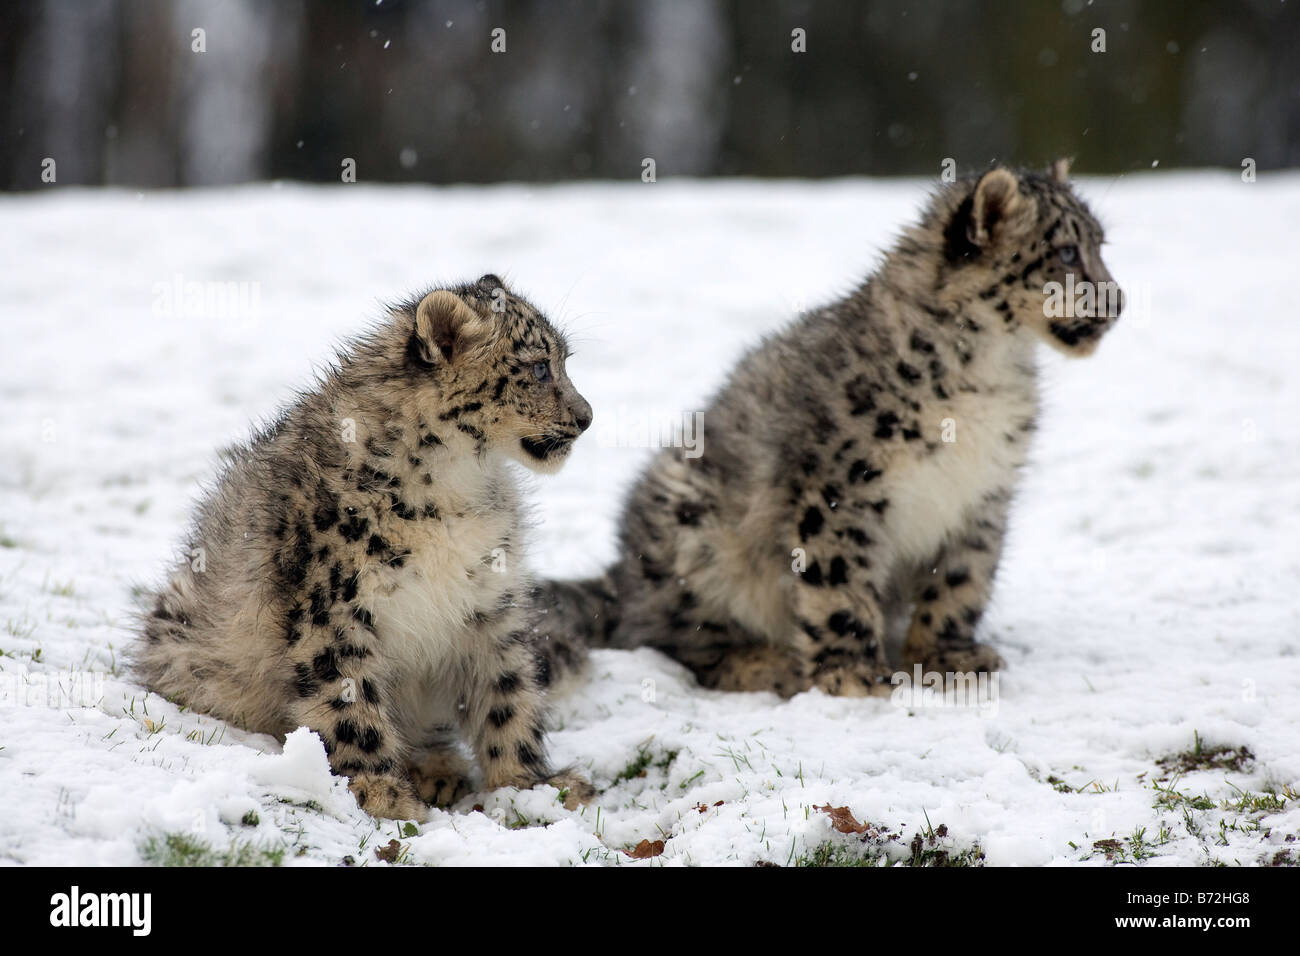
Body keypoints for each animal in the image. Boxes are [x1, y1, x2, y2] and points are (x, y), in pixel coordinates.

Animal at [134, 274, 595, 820]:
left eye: (564, 360)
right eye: (540, 366)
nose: (587, 417)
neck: (456, 483)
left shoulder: (489, 604)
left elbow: (508, 693)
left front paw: (532, 786)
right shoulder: (335, 605)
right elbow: (348, 697)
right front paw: (383, 793)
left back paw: (438, 768)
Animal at [539, 160, 1123, 697]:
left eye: (1101, 244)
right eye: (1066, 253)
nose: (1118, 301)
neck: (990, 369)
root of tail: (624, 573)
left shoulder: (984, 494)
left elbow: (962, 579)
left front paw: (949, 658)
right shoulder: (842, 486)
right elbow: (838, 580)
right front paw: (854, 674)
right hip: (690, 529)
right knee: (677, 641)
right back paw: (767, 664)